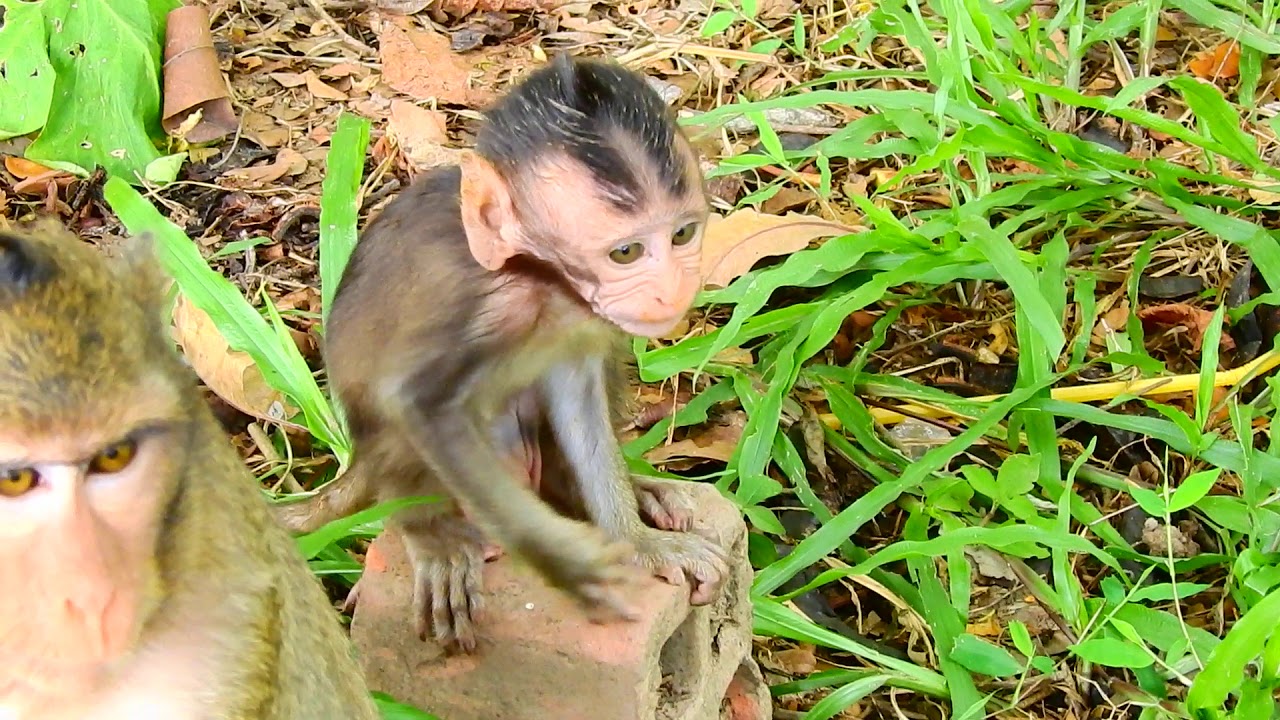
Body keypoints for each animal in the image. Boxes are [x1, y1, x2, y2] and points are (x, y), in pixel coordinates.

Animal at [271, 54, 730, 653]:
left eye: (681, 235)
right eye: (626, 252)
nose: (672, 289)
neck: (544, 281)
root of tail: (359, 459)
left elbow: (577, 389)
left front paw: (635, 541)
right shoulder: (493, 305)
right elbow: (423, 405)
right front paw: (566, 567)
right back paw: (434, 532)